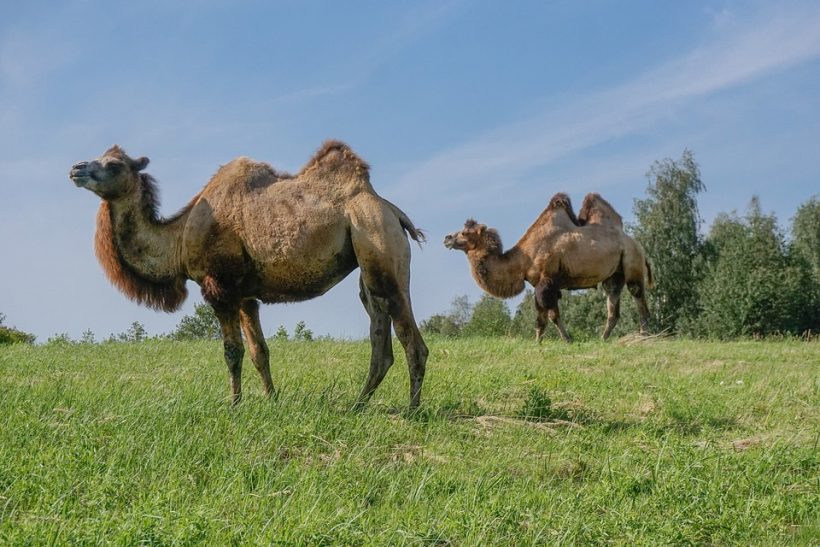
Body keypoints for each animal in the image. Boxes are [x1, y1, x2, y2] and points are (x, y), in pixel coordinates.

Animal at [69, 141, 428, 407]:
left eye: (114, 165)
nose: (76, 169)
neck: (179, 239)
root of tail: (391, 210)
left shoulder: (218, 287)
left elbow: (232, 352)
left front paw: (235, 404)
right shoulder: (245, 295)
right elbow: (260, 352)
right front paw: (271, 400)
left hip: (378, 240)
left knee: (410, 338)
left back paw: (412, 410)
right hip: (368, 265)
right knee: (379, 336)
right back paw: (358, 405)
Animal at [444, 192, 653, 342]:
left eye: (465, 232)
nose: (447, 238)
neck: (522, 260)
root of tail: (637, 244)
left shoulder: (547, 280)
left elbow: (551, 315)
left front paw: (567, 340)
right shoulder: (538, 283)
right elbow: (540, 317)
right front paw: (538, 342)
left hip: (632, 260)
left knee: (637, 294)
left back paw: (644, 334)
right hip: (614, 274)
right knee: (613, 304)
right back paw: (604, 338)